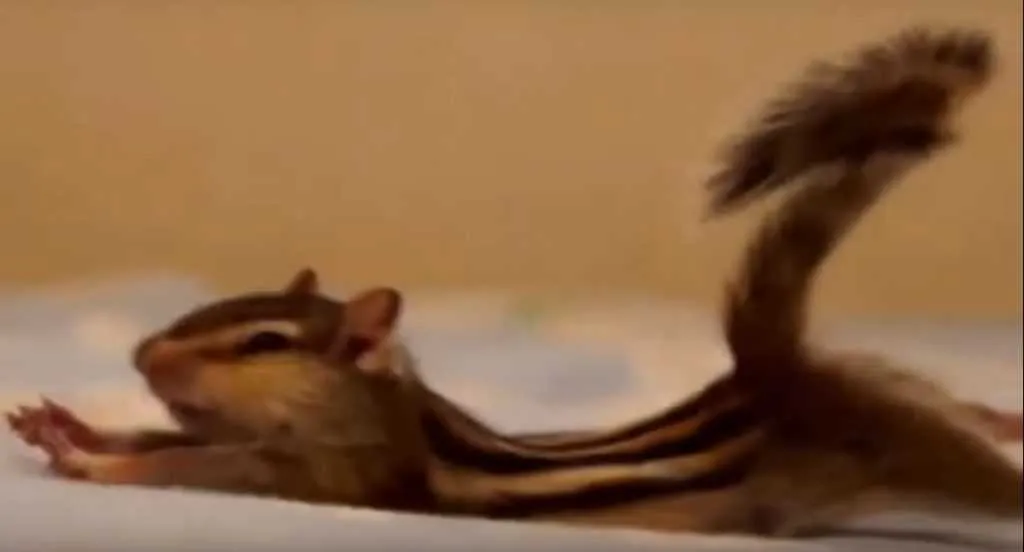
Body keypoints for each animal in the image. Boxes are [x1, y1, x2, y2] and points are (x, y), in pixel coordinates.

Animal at [7, 26, 1021, 537]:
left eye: (262, 343)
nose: (141, 355)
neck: (395, 415)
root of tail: (769, 370)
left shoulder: (323, 474)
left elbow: (186, 465)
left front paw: (95, 460)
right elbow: (161, 436)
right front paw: (68, 423)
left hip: (929, 456)